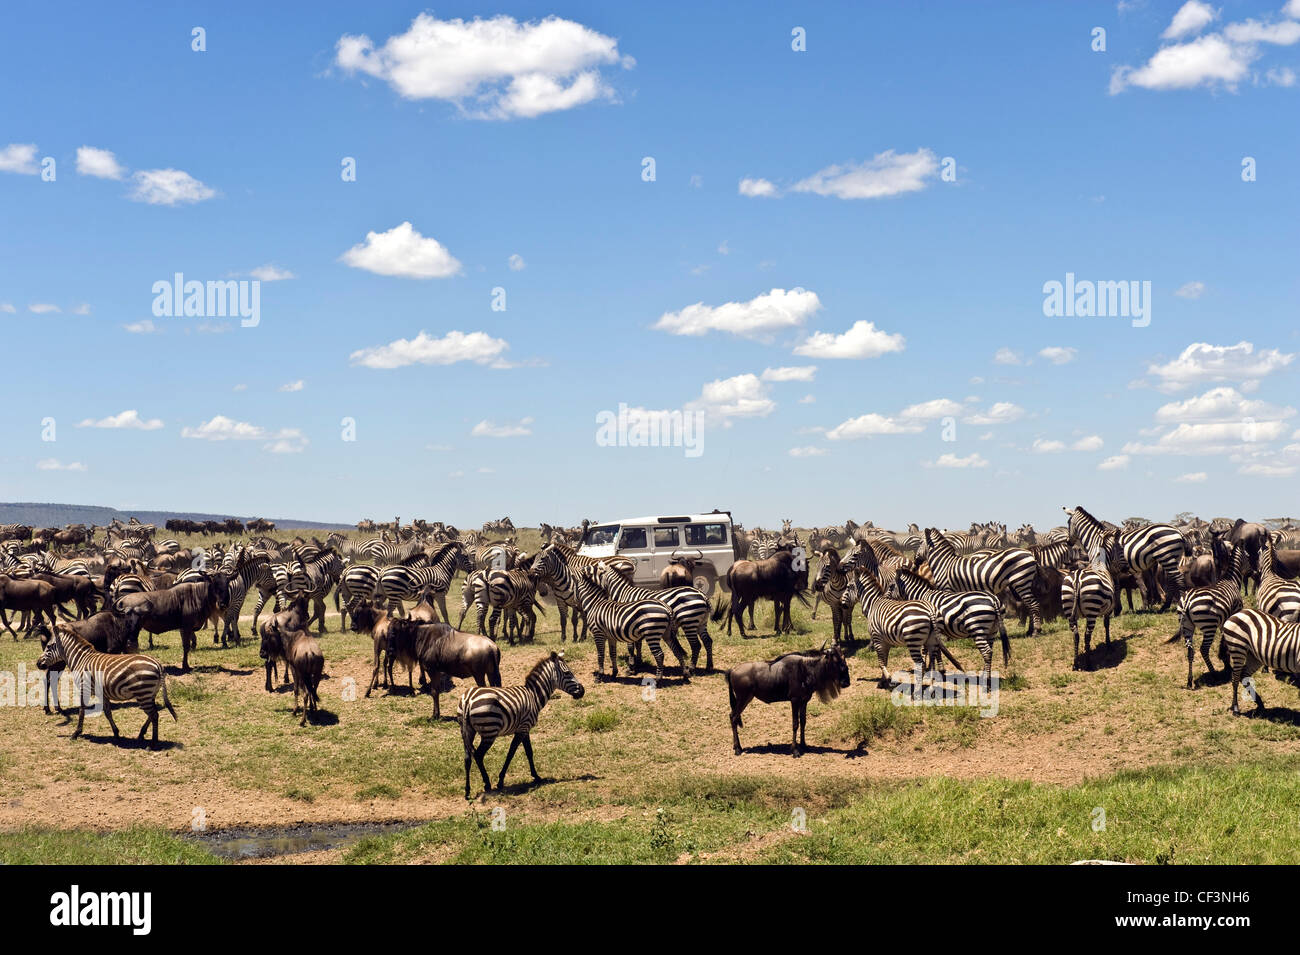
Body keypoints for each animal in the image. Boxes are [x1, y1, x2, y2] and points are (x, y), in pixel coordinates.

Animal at [37, 624, 177, 748]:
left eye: (48, 647)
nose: (38, 664)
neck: (80, 660)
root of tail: (158, 664)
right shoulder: (102, 693)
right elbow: (108, 712)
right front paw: (116, 733)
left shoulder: (84, 688)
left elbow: (82, 711)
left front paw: (76, 733)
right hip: (149, 694)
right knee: (153, 713)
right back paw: (142, 734)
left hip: (144, 693)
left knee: (154, 715)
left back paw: (152, 743)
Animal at [458, 651, 584, 799]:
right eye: (567, 673)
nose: (582, 691)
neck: (534, 695)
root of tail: (468, 700)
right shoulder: (523, 727)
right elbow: (512, 753)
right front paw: (501, 781)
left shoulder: (525, 729)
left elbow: (529, 752)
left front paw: (535, 776)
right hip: (489, 732)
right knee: (478, 755)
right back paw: (487, 784)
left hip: (467, 731)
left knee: (467, 757)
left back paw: (467, 791)